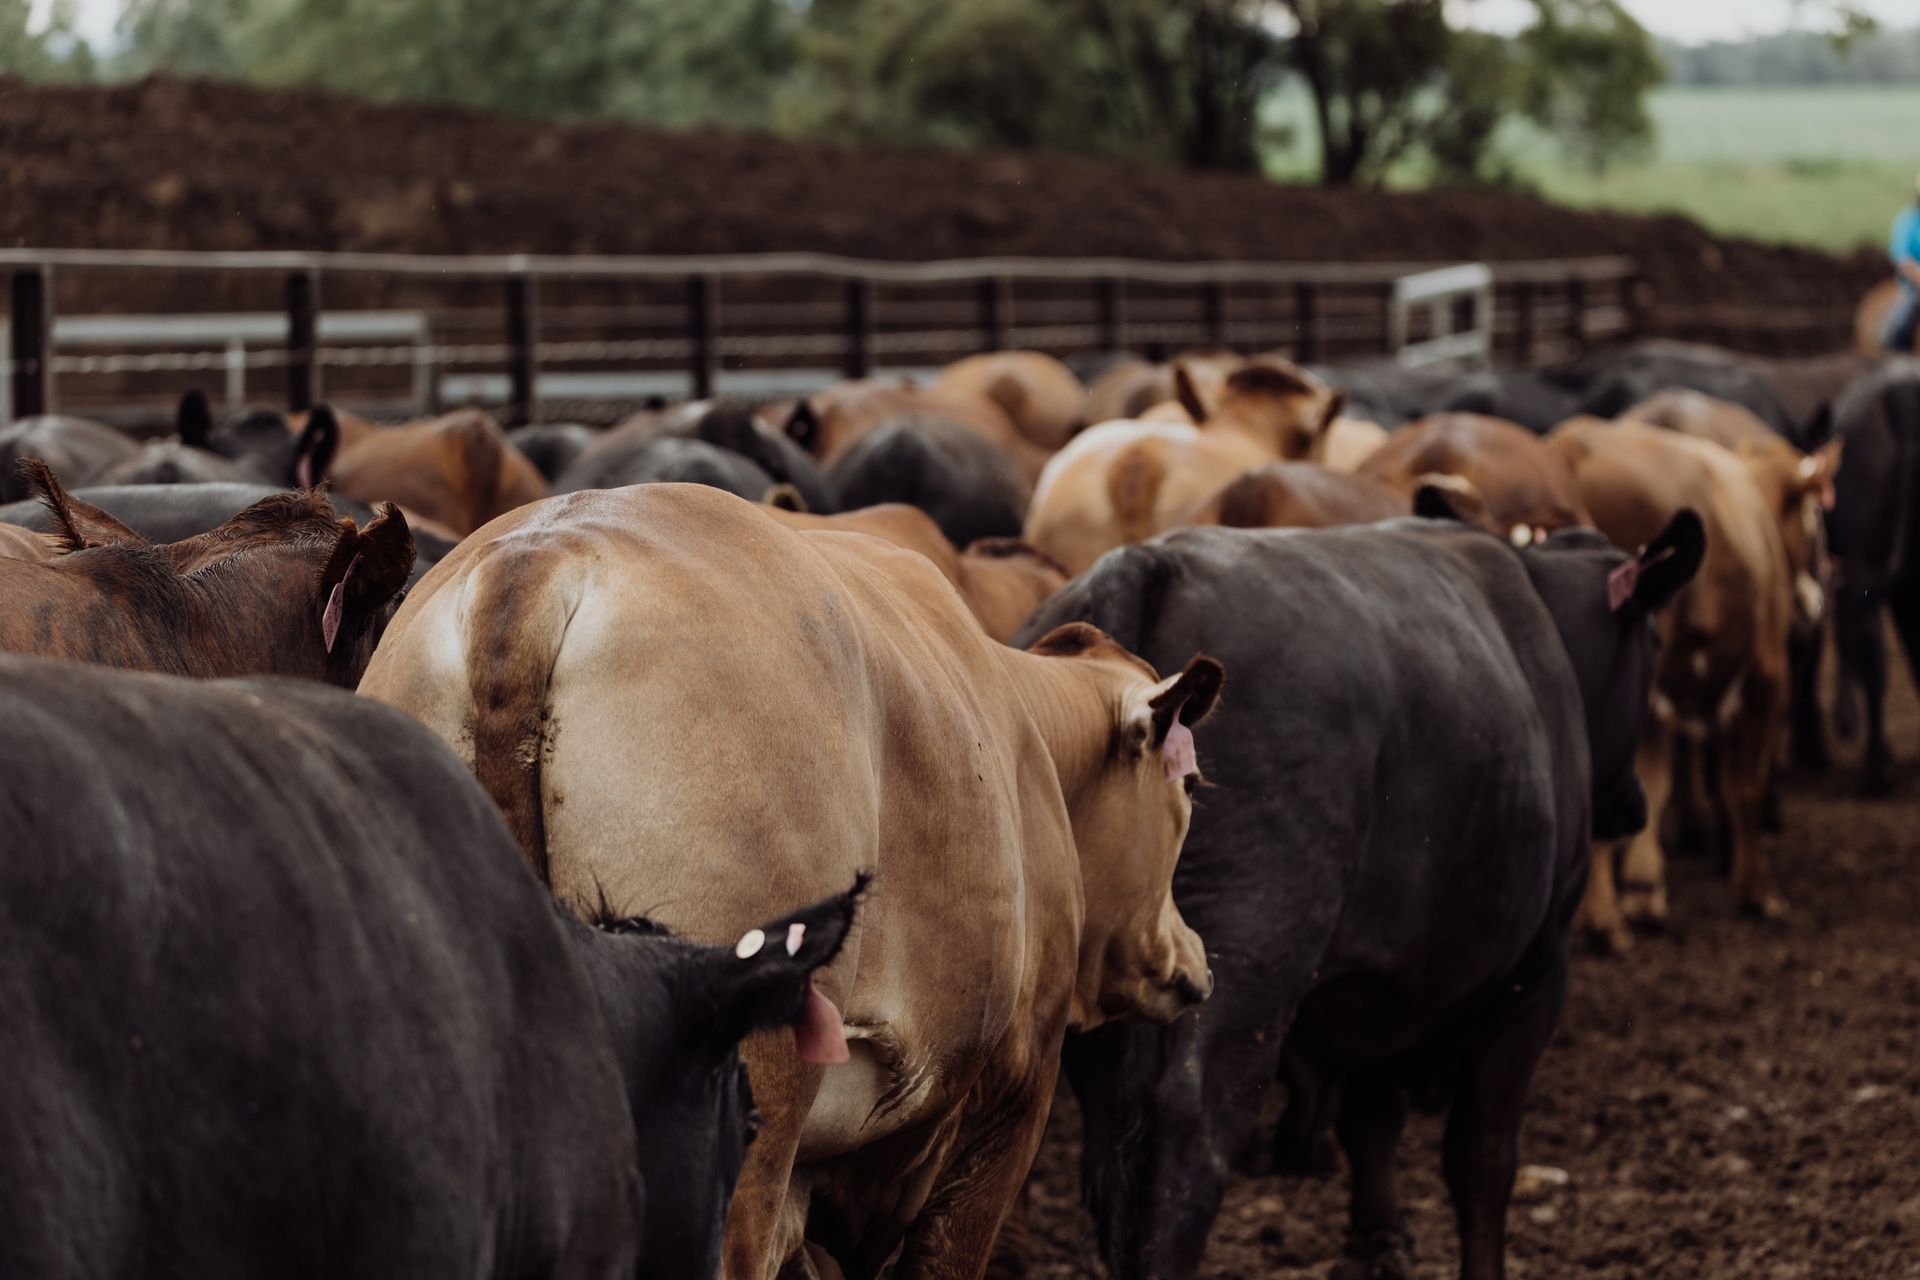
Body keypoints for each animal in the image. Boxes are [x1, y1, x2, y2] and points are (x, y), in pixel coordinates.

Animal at [1018, 508, 1699, 1280]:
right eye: (1653, 640)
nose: (1634, 801)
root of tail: (1143, 563)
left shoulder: (1383, 986)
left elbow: (1373, 1119)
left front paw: (1378, 1240)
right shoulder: (1531, 977)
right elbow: (1482, 1160)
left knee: (1112, 1162)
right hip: (1247, 968)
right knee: (1188, 1142)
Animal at [1551, 418, 1796, 947]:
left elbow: (1661, 782)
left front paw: (1646, 891)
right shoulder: (1766, 677)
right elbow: (1743, 786)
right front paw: (1759, 889)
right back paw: (1603, 921)